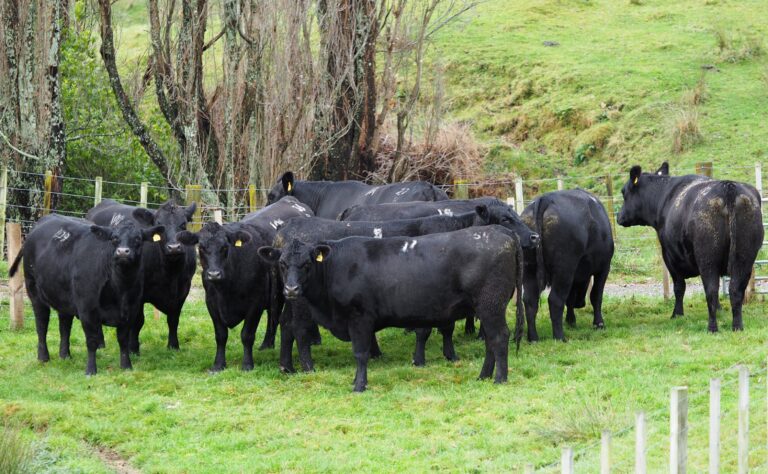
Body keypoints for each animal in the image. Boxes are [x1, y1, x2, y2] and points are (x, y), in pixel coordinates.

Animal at [8, 214, 164, 374]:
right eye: (114, 238)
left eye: (138, 239)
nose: (122, 252)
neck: (120, 289)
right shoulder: (87, 310)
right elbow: (92, 341)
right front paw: (90, 370)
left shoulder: (131, 310)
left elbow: (123, 340)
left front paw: (126, 366)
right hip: (34, 292)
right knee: (41, 324)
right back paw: (43, 357)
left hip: (64, 298)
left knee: (65, 326)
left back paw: (65, 356)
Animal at [87, 199, 197, 353]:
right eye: (159, 226)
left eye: (183, 224)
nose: (174, 247)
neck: (171, 273)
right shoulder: (139, 292)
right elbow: (138, 321)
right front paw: (133, 349)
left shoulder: (183, 290)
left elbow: (173, 319)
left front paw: (173, 346)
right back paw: (100, 344)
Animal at [258, 226, 525, 392]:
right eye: (282, 264)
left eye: (306, 264)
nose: (291, 290)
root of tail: (502, 231)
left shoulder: (359, 318)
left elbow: (360, 353)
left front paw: (359, 385)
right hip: (488, 308)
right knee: (491, 340)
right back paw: (483, 376)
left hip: (491, 305)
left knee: (499, 338)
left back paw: (499, 379)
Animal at [520, 189, 614, 341]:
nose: (580, 303)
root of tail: (546, 198)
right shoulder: (603, 268)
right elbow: (596, 295)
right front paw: (599, 323)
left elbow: (570, 299)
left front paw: (571, 320)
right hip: (564, 269)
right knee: (555, 300)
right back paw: (559, 337)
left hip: (529, 269)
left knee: (530, 300)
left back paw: (533, 338)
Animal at [617, 162, 763, 332]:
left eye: (624, 192)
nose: (618, 217)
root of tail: (728, 186)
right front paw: (720, 309)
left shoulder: (669, 256)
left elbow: (679, 287)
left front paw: (677, 314)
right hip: (745, 257)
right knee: (735, 289)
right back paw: (737, 326)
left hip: (708, 258)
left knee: (711, 290)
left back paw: (712, 328)